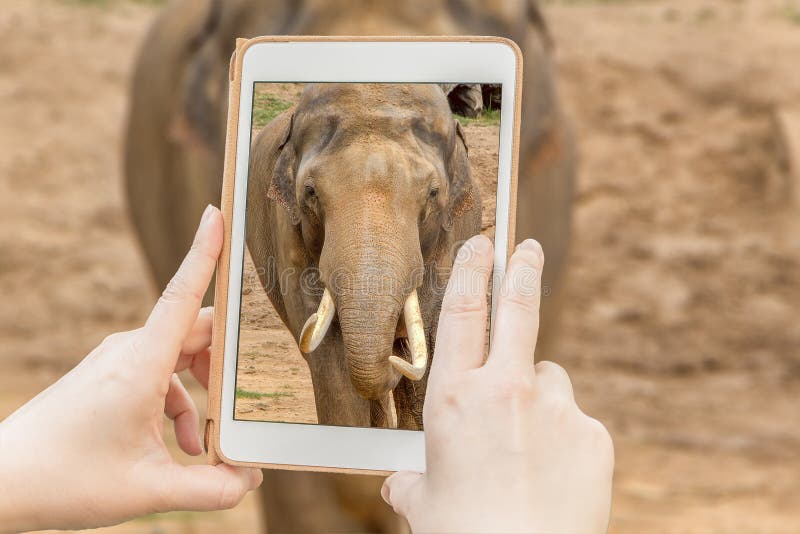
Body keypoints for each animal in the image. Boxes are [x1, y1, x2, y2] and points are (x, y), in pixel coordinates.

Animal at [246, 83, 480, 429]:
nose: (392, 360)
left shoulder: (450, 239)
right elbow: (329, 358)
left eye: (433, 193)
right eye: (311, 192)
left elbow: (429, 338)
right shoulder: (288, 234)